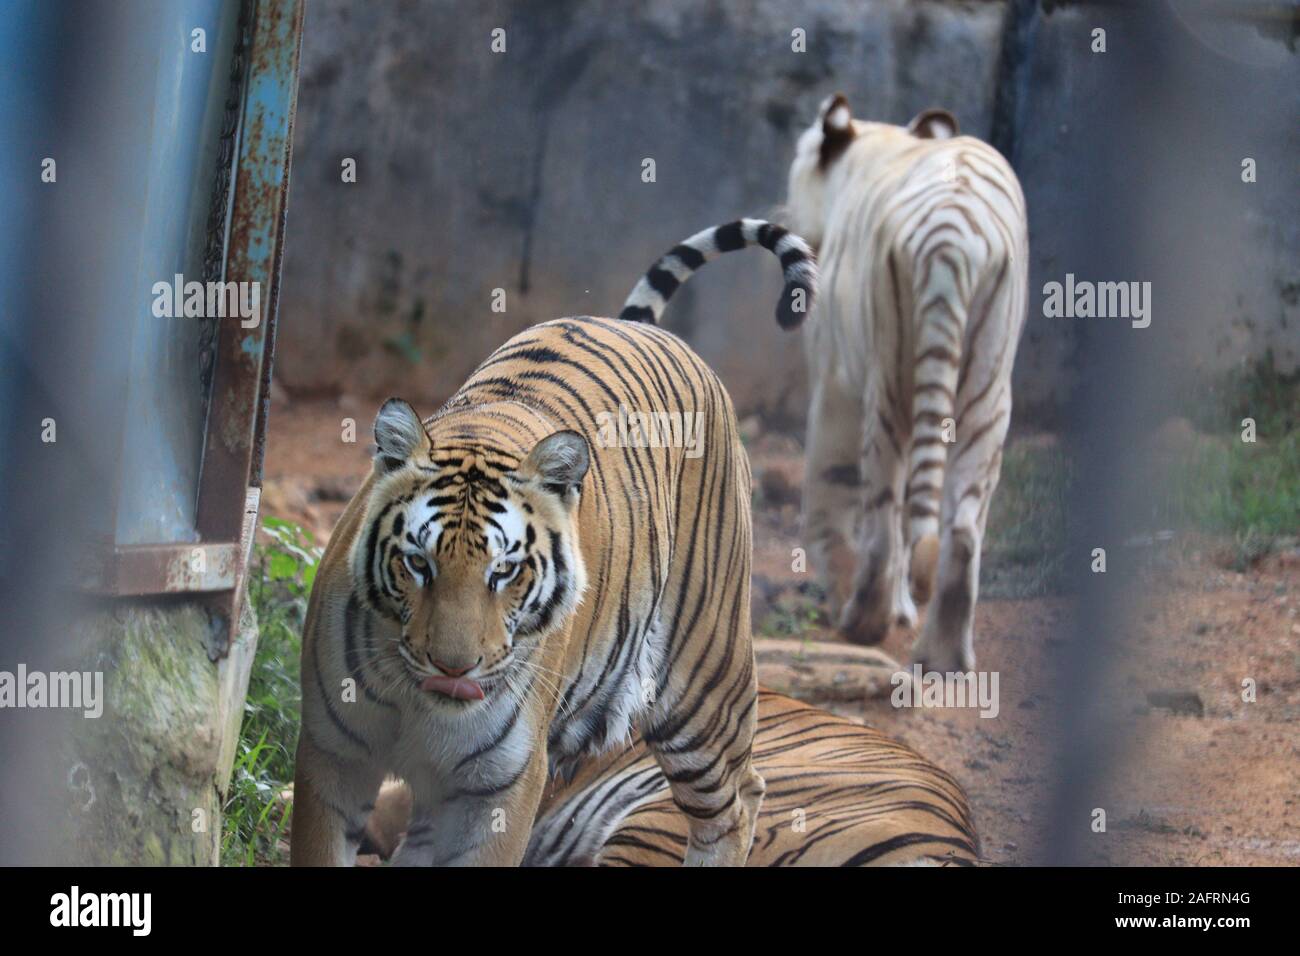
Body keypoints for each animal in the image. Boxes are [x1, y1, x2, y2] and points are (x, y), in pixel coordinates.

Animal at [290, 219, 817, 867]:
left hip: (703, 682)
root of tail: (638, 327)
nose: (452, 667)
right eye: (418, 563)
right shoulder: (333, 757)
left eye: (504, 571)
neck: (419, 704)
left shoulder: (501, 786)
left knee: (739, 798)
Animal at [784, 93, 1029, 672]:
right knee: (960, 527)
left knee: (883, 510)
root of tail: (955, 233)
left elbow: (833, 487)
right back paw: (946, 654)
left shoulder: (835, 380)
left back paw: (863, 619)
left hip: (890, 382)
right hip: (987, 393)